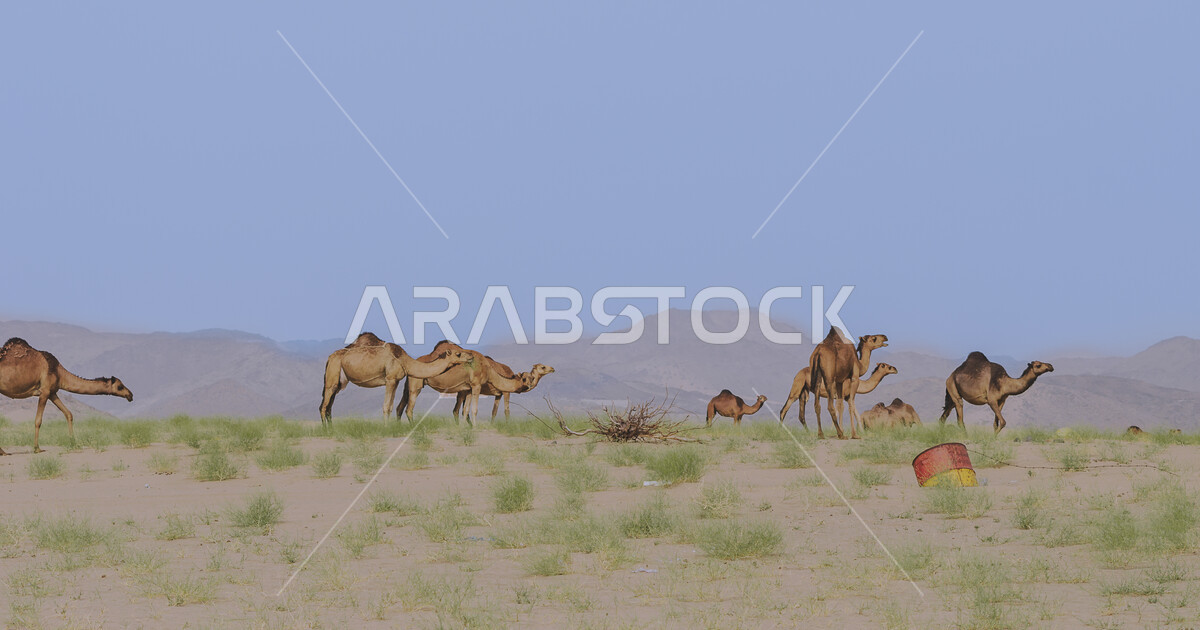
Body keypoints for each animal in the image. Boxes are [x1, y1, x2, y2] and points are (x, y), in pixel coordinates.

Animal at [0, 338, 133, 454]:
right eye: (120, 386)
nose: (130, 395)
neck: (59, 372)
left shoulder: (52, 393)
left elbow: (68, 414)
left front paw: (73, 442)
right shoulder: (44, 391)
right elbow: (38, 421)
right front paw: (37, 448)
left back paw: (4, 452)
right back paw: (4, 452)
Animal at [317, 333, 471, 425]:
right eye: (458, 354)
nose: (470, 357)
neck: (405, 360)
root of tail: (329, 358)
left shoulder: (396, 381)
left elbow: (391, 407)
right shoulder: (390, 379)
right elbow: (386, 406)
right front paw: (386, 428)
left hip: (339, 381)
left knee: (329, 405)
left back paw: (332, 428)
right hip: (333, 373)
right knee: (324, 405)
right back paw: (326, 430)